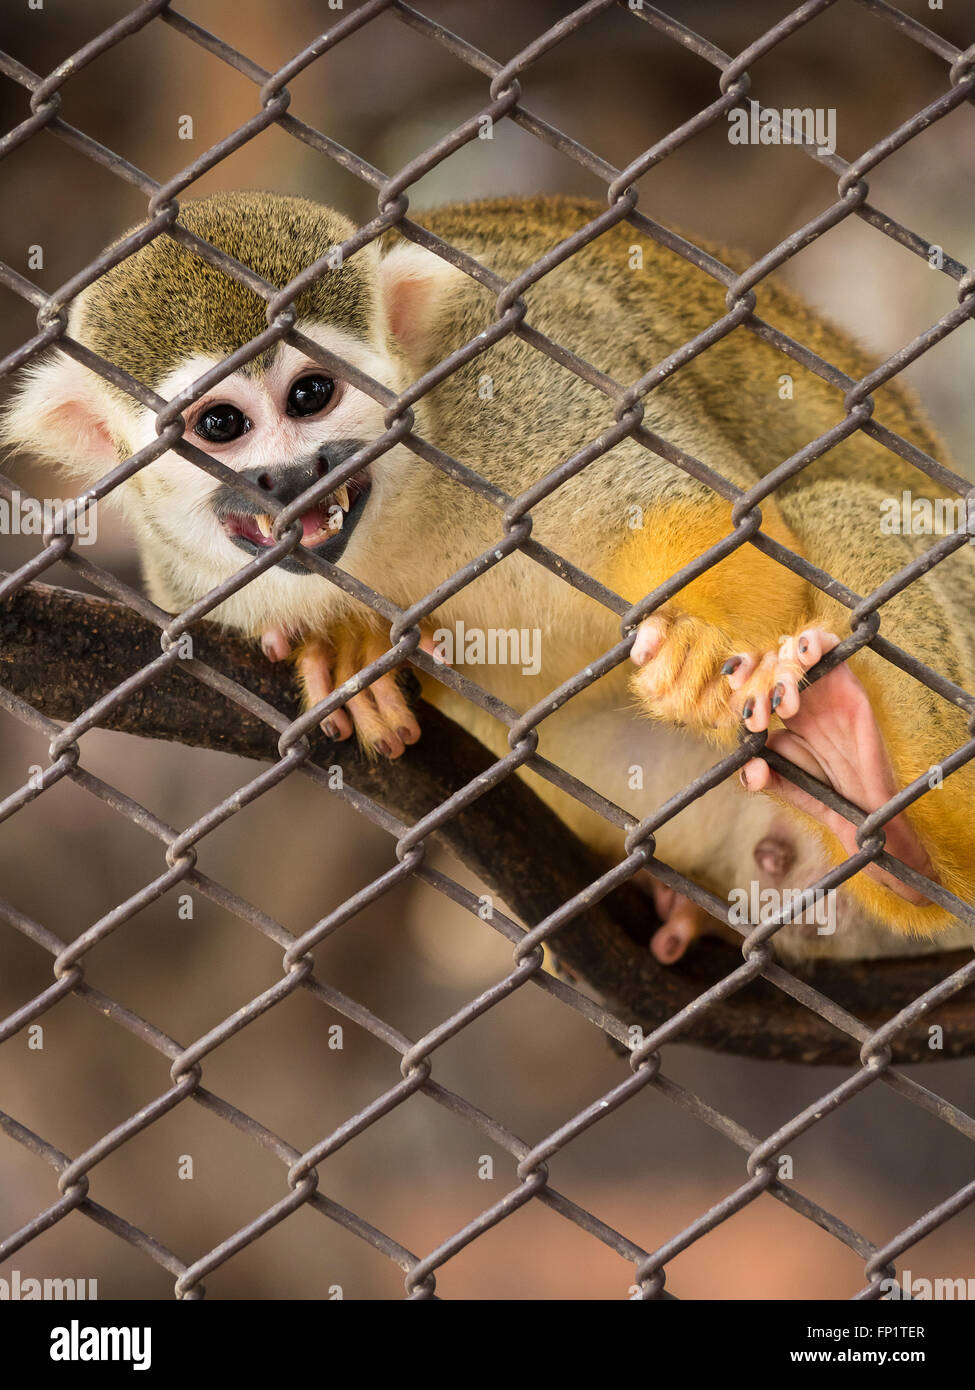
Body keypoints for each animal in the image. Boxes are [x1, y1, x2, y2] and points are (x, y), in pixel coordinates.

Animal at [3, 189, 975, 966]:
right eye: (219, 425)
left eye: (312, 395)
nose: (290, 478)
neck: (390, 516)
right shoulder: (187, 575)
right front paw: (348, 650)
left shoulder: (503, 385)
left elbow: (710, 515)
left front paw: (699, 652)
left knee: (846, 508)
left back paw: (882, 806)